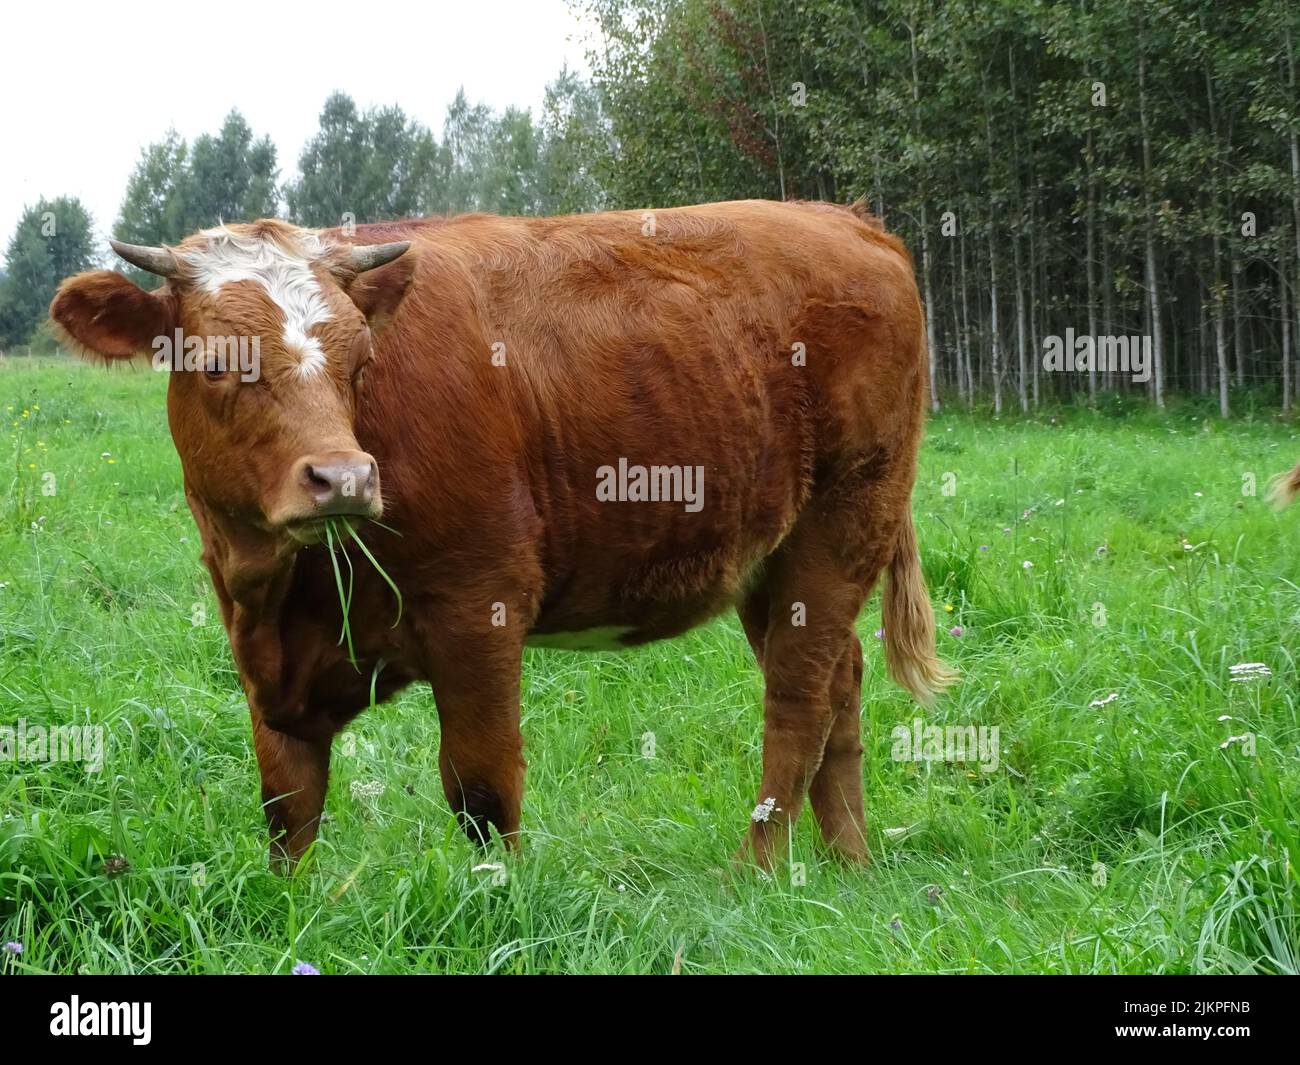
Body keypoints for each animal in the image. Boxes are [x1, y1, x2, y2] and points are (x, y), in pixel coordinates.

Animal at [49, 199, 955, 872]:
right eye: (214, 360)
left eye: (359, 360)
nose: (343, 478)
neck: (284, 590)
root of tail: (846, 220)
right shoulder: (264, 656)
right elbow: (288, 804)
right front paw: (295, 913)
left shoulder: (477, 605)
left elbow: (482, 788)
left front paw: (502, 901)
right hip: (774, 557)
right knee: (840, 683)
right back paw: (848, 864)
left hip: (844, 522)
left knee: (799, 702)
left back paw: (756, 870)